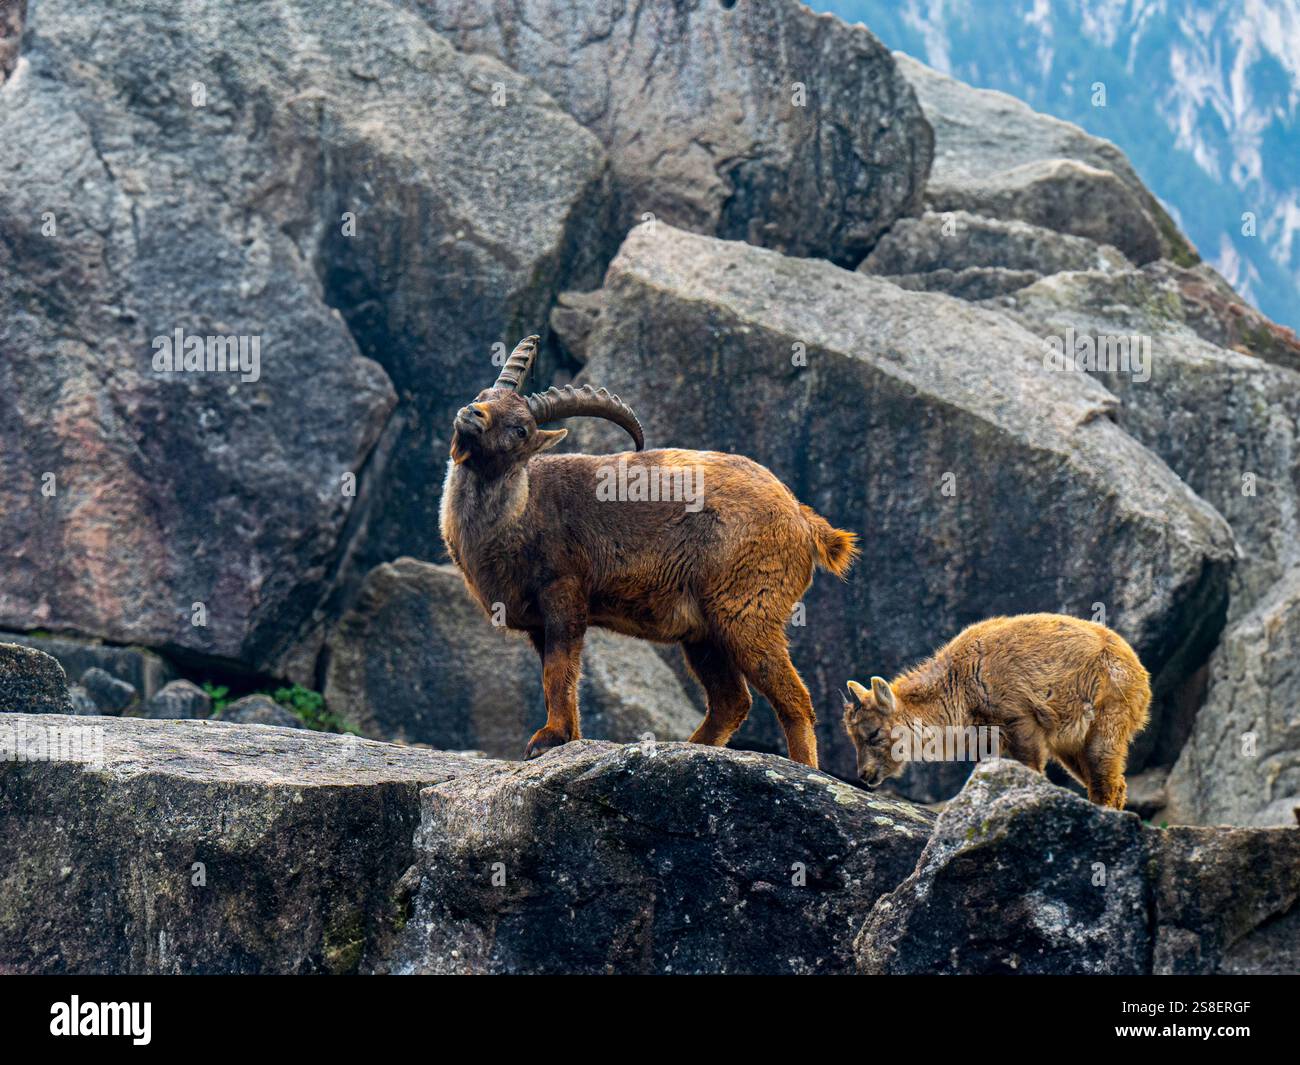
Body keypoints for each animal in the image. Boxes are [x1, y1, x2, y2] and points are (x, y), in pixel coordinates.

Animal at [439, 335, 858, 767]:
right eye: (484, 395)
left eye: (521, 428)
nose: (471, 414)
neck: (523, 507)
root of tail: (802, 519)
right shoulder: (539, 622)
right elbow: (559, 675)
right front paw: (569, 737)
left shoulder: (563, 590)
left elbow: (558, 671)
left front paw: (547, 739)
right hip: (704, 632)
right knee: (731, 701)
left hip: (747, 609)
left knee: (794, 700)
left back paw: (802, 767)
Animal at [841, 613, 1151, 808]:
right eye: (853, 738)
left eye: (873, 733)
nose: (864, 774)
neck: (960, 683)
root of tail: (1139, 673)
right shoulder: (989, 740)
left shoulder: (1020, 721)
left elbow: (1031, 771)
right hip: (1071, 746)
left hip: (1108, 721)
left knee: (1107, 786)